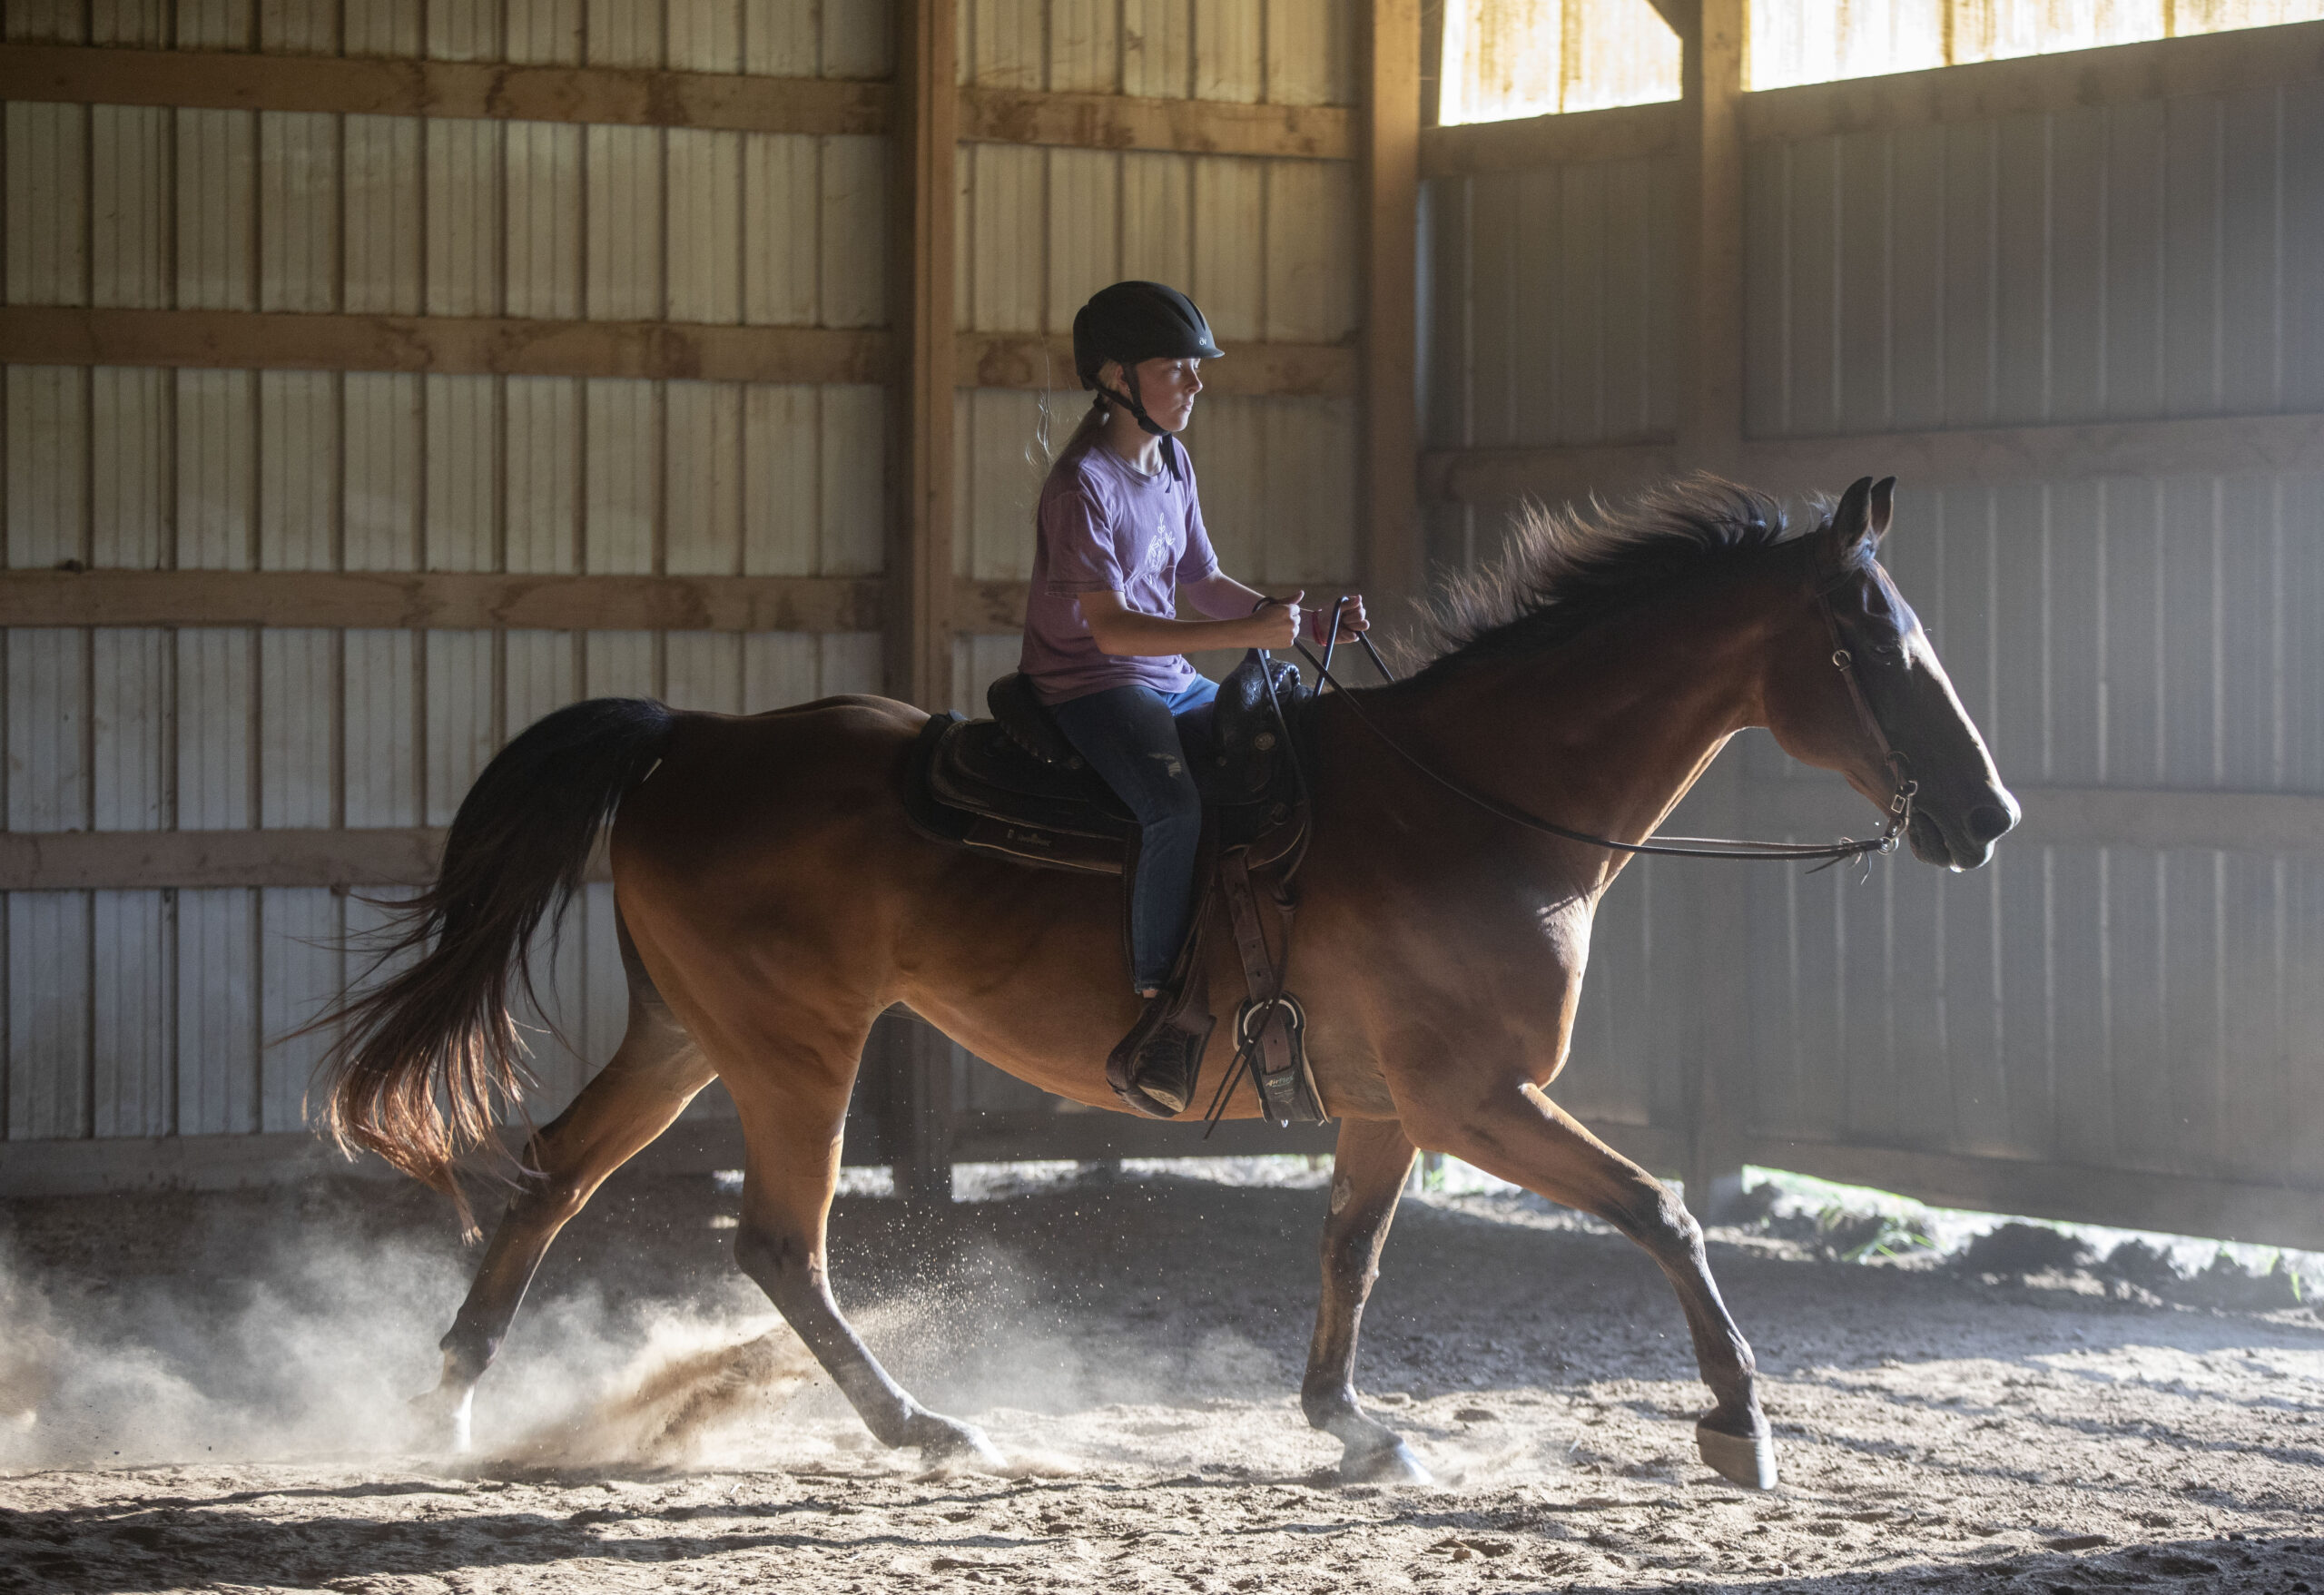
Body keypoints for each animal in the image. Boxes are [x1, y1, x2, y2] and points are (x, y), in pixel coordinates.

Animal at [319, 473, 2017, 1489]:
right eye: (1877, 643)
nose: (1987, 815)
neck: (1478, 805)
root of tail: (692, 738)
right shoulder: (1478, 1097)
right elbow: (1663, 1210)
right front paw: (1741, 1423)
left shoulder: (1390, 1107)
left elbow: (1352, 1257)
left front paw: (1351, 1424)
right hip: (797, 1050)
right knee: (778, 1244)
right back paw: (919, 1421)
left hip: (689, 1036)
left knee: (554, 1179)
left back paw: (449, 1404)